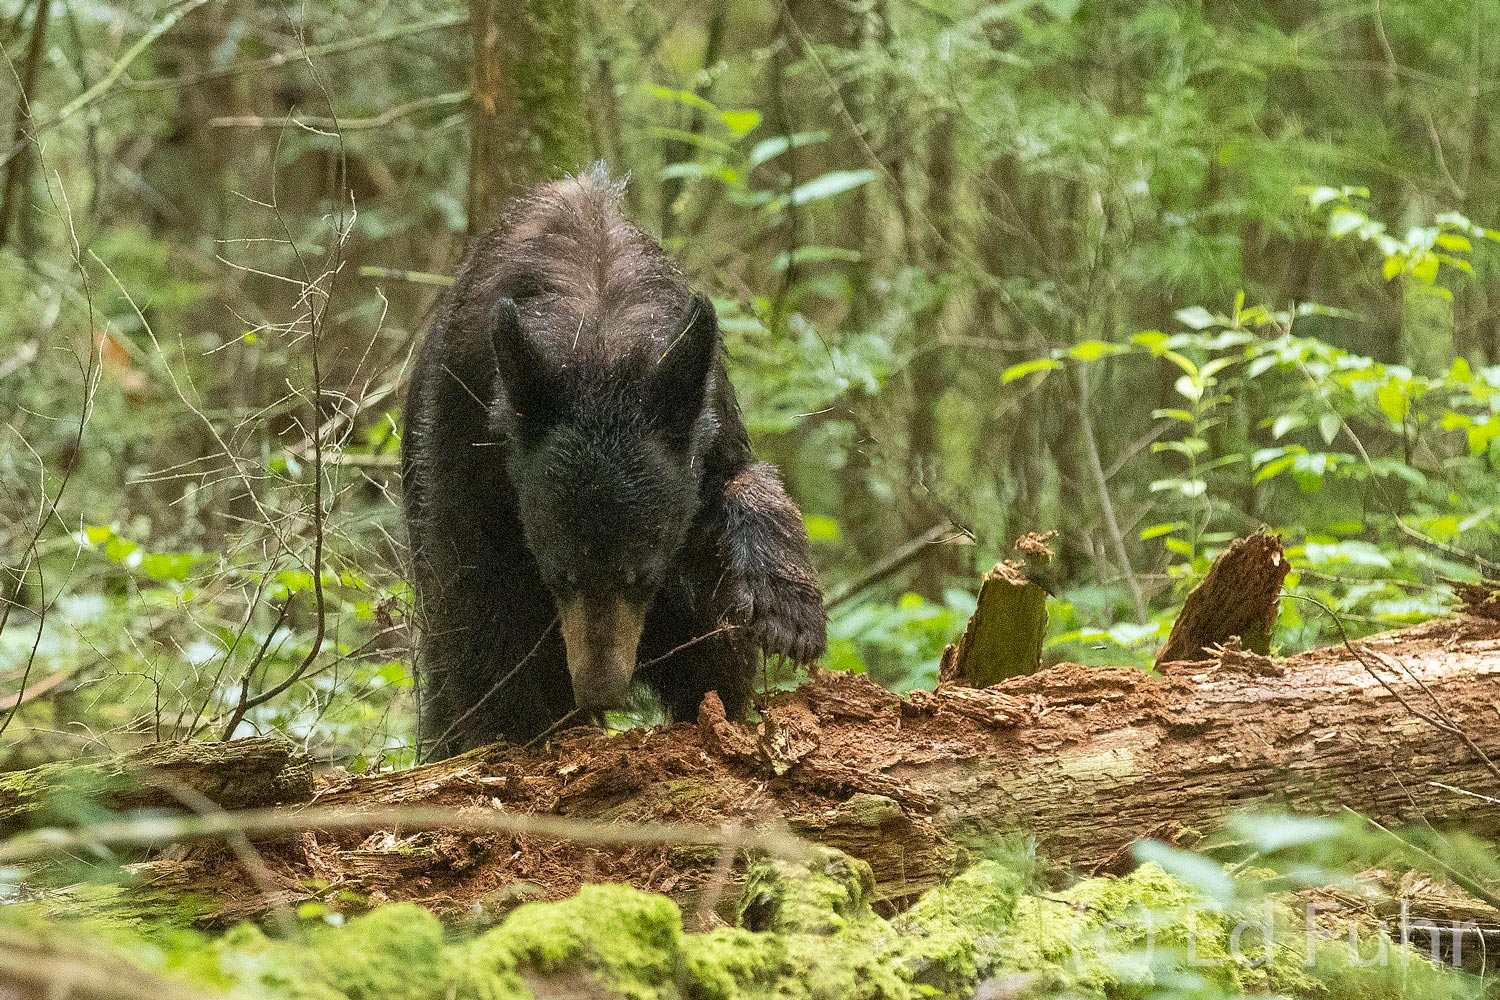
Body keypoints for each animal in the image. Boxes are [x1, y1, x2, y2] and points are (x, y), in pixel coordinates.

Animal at [401, 165, 827, 759]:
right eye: (558, 573)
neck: (597, 336)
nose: (599, 692)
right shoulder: (465, 433)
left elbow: (742, 479)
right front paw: (510, 731)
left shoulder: (699, 403)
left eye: (643, 576)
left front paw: (788, 608)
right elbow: (475, 596)